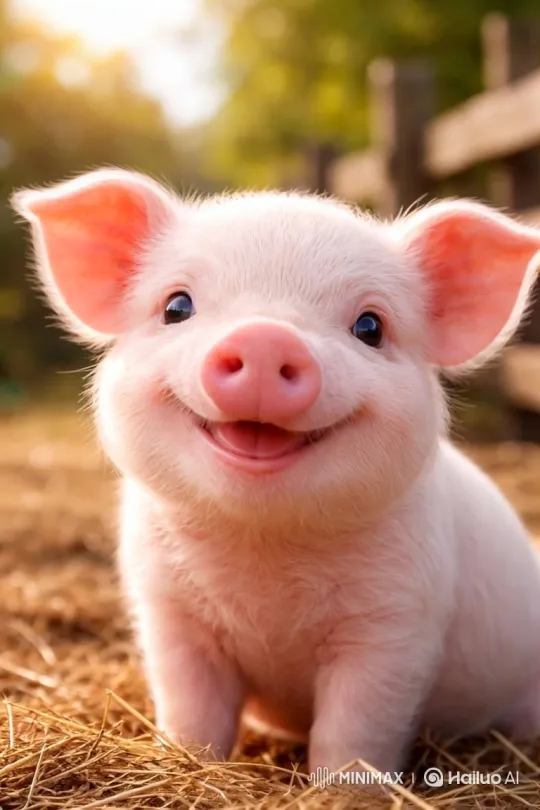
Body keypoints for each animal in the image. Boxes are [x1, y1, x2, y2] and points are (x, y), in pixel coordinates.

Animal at [12, 168, 540, 780]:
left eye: (370, 326)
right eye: (176, 306)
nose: (265, 337)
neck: (262, 551)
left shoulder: (397, 623)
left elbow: (356, 725)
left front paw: (341, 789)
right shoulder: (168, 614)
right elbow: (191, 710)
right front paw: (188, 763)